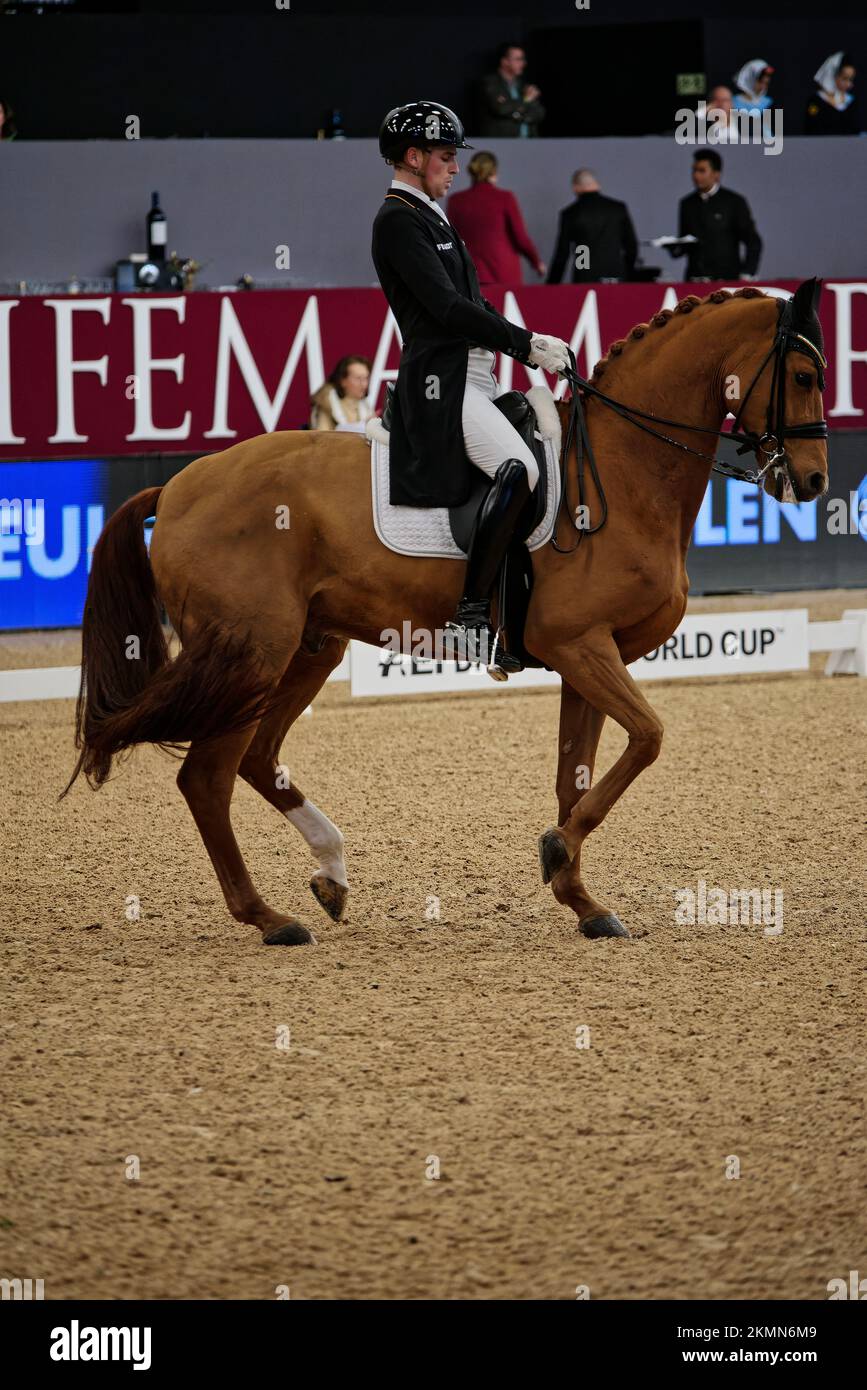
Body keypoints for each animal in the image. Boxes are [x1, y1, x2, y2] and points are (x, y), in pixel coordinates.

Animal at [63, 280, 829, 945]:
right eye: (800, 376)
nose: (815, 480)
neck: (621, 470)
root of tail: (176, 486)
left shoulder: (583, 657)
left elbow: (575, 776)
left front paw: (580, 898)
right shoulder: (580, 645)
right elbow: (648, 738)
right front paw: (558, 852)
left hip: (308, 648)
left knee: (257, 759)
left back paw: (331, 873)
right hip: (252, 652)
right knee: (206, 778)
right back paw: (269, 918)